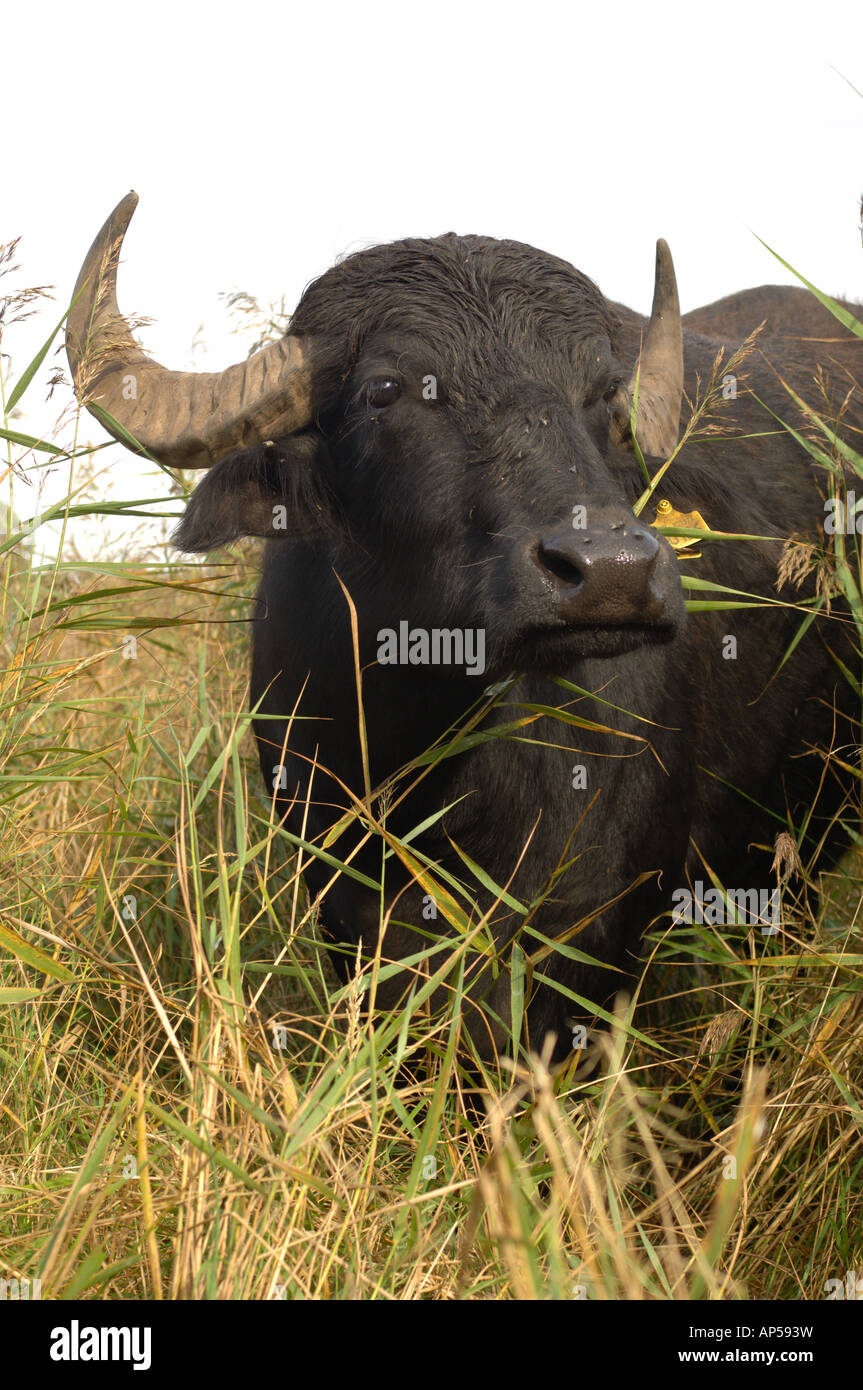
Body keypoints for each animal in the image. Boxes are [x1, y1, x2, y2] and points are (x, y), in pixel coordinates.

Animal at [66, 194, 862, 1064]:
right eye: (387, 389)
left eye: (602, 397)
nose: (611, 572)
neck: (416, 758)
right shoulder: (339, 902)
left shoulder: (592, 930)